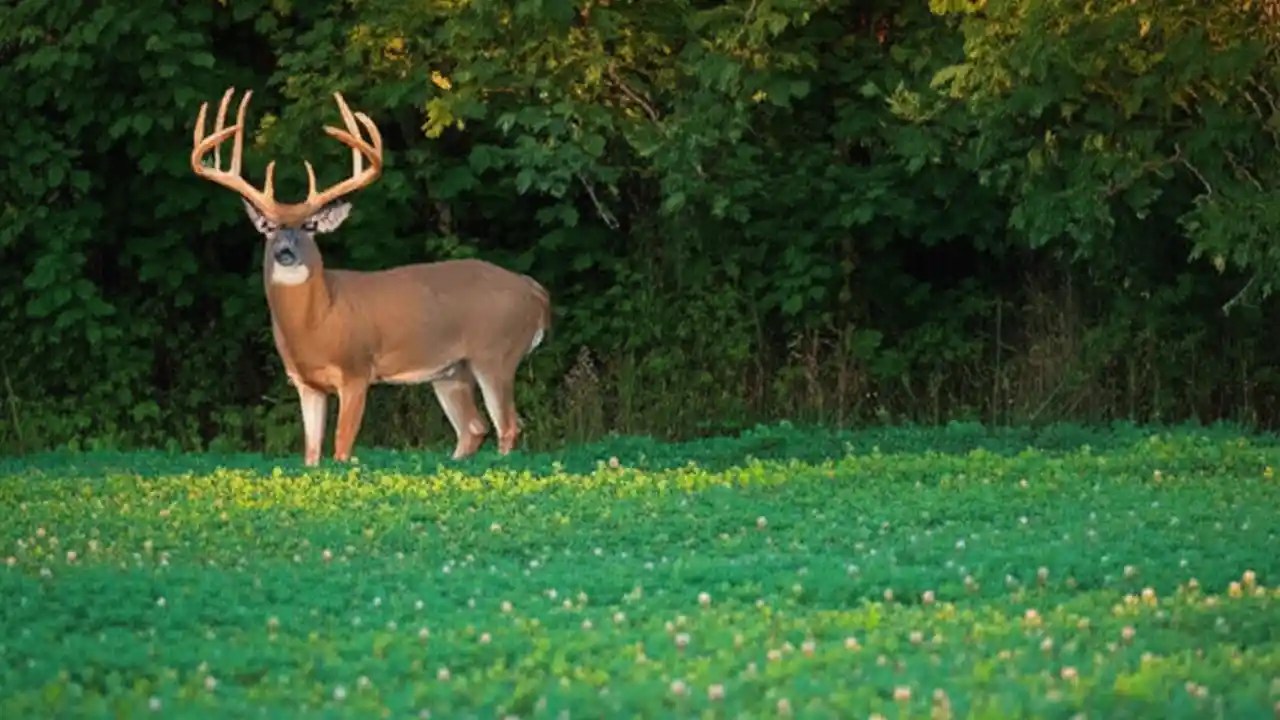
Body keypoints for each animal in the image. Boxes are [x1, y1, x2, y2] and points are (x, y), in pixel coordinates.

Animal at [189, 87, 551, 466]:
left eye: (310, 226)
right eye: (269, 228)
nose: (284, 252)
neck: (318, 321)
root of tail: (535, 291)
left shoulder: (356, 371)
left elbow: (341, 449)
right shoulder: (305, 383)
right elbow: (311, 454)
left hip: (496, 352)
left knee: (508, 425)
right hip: (451, 371)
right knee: (473, 428)